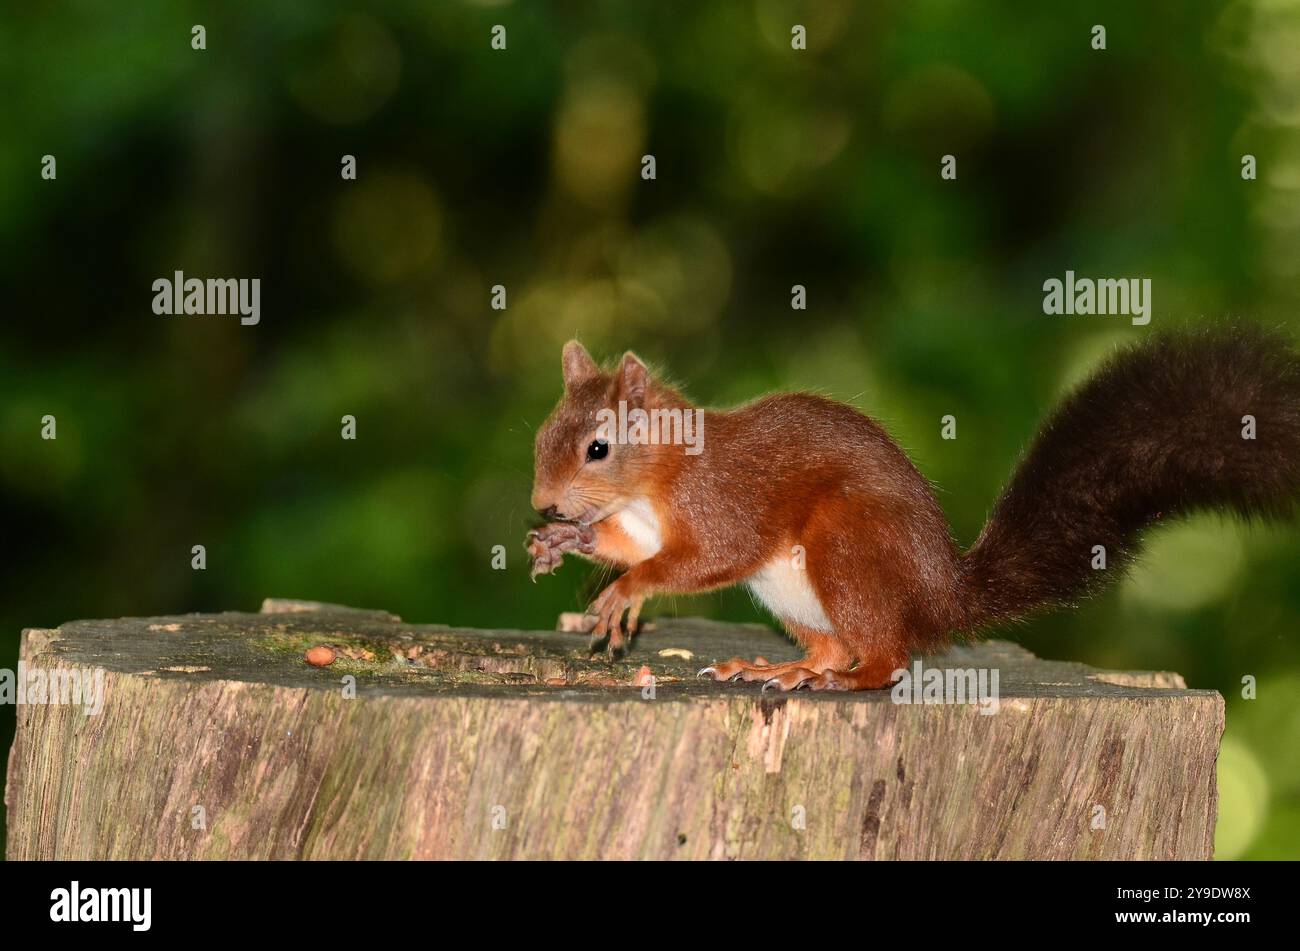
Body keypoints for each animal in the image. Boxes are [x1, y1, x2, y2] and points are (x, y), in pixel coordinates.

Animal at [526, 325, 1300, 691]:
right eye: (541, 435)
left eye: (597, 448)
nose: (542, 504)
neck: (656, 481)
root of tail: (942, 597)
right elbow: (632, 544)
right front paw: (564, 544)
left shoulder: (723, 500)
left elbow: (708, 556)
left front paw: (627, 589)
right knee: (838, 644)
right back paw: (788, 669)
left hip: (847, 546)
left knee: (887, 659)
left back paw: (840, 681)